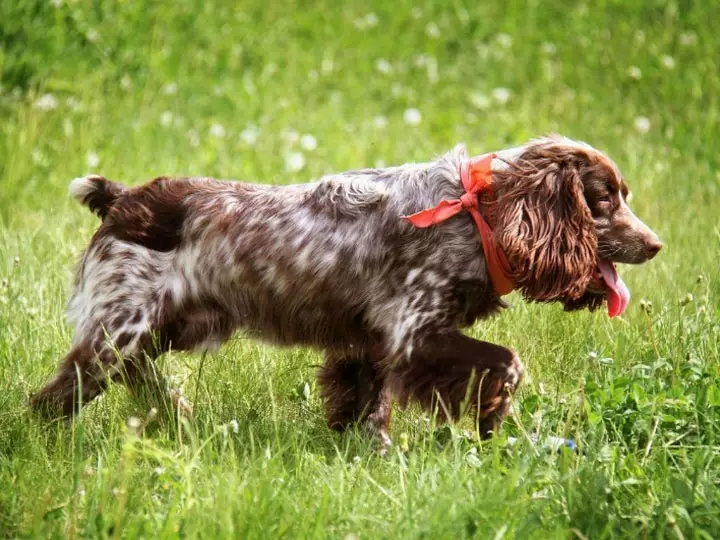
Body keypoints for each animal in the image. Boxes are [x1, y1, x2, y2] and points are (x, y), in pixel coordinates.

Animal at [32, 136, 664, 452]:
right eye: (604, 199)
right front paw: (490, 423)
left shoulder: (376, 342)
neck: (478, 215)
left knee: (134, 379)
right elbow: (507, 364)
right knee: (52, 399)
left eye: (622, 195)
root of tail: (123, 200)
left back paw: (172, 414)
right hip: (119, 332)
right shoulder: (413, 334)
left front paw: (370, 450)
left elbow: (368, 403)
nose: (656, 244)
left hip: (161, 330)